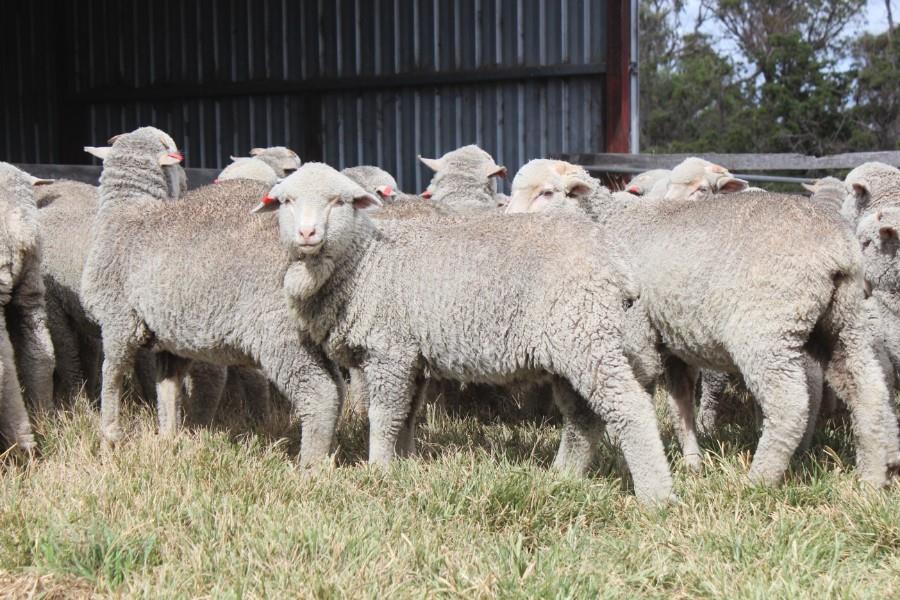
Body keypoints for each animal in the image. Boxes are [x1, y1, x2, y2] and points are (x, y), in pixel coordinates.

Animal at [81, 127, 341, 463]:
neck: (126, 209)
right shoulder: (170, 338)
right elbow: (167, 390)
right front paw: (168, 439)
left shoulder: (118, 322)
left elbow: (111, 376)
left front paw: (109, 440)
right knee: (337, 390)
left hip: (280, 332)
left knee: (319, 393)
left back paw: (311, 465)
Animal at [254, 162, 674, 502]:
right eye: (286, 201)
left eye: (338, 202)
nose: (307, 233)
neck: (365, 261)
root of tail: (613, 258)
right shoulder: (412, 357)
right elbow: (406, 415)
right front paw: (403, 466)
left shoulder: (390, 351)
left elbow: (384, 415)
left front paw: (378, 471)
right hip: (571, 344)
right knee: (583, 420)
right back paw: (562, 479)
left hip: (584, 334)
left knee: (630, 406)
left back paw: (655, 496)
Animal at [507, 158, 896, 486]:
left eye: (546, 192)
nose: (506, 224)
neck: (608, 224)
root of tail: (836, 249)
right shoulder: (672, 339)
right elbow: (680, 403)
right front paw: (691, 461)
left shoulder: (634, 333)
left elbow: (638, 393)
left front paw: (622, 451)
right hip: (841, 324)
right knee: (868, 390)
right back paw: (872, 478)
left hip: (767, 331)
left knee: (790, 404)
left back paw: (759, 481)